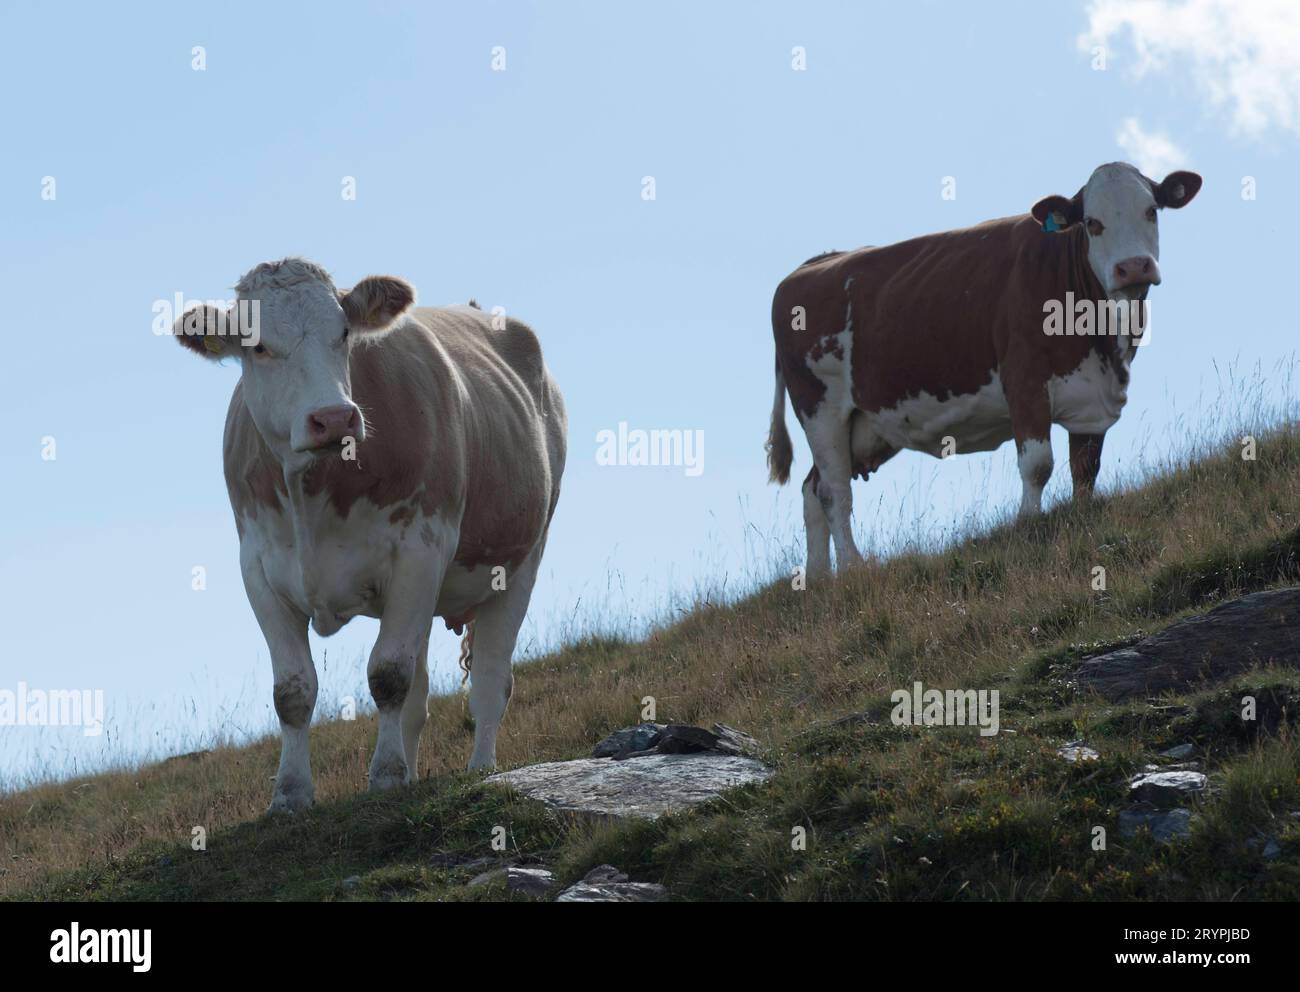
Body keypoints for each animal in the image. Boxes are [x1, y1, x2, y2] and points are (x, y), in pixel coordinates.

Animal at [174, 258, 566, 813]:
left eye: (343, 334)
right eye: (258, 346)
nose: (334, 417)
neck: (315, 491)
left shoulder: (420, 552)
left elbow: (388, 676)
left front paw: (384, 776)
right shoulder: (259, 570)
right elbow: (293, 691)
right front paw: (290, 794)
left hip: (520, 559)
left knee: (490, 680)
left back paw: (480, 767)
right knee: (420, 698)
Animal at [767, 162, 1201, 576]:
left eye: (1151, 210)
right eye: (1092, 222)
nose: (1134, 267)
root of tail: (813, 263)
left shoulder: (1093, 399)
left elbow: (1085, 469)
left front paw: (1081, 517)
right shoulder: (1023, 378)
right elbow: (1037, 464)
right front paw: (1028, 524)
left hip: (863, 424)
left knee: (812, 489)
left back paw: (819, 578)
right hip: (820, 409)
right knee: (834, 491)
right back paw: (852, 566)